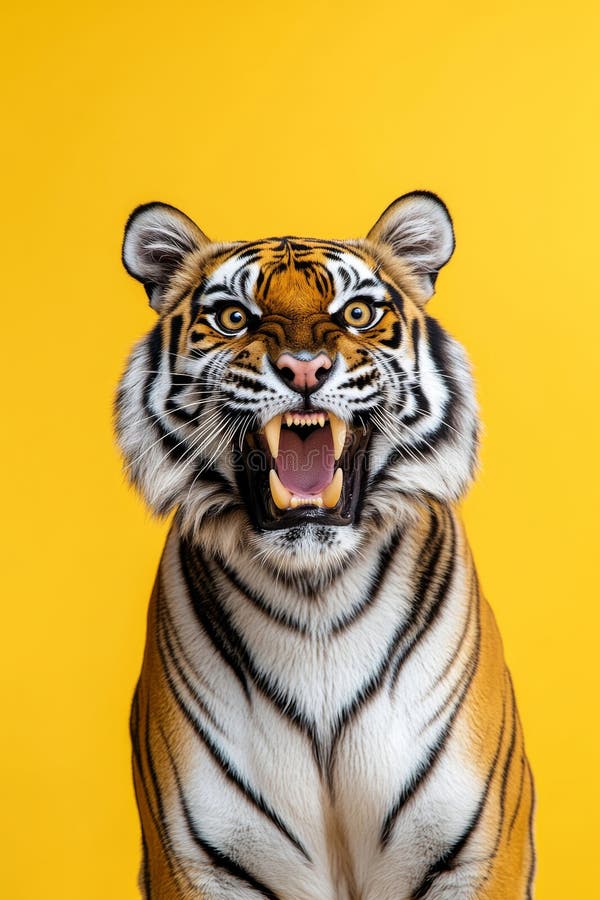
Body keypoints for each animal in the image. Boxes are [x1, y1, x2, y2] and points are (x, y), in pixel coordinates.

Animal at [115, 191, 535, 899]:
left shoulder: (473, 851)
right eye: (233, 318)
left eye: (358, 313)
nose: (304, 369)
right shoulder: (203, 862)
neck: (315, 596)